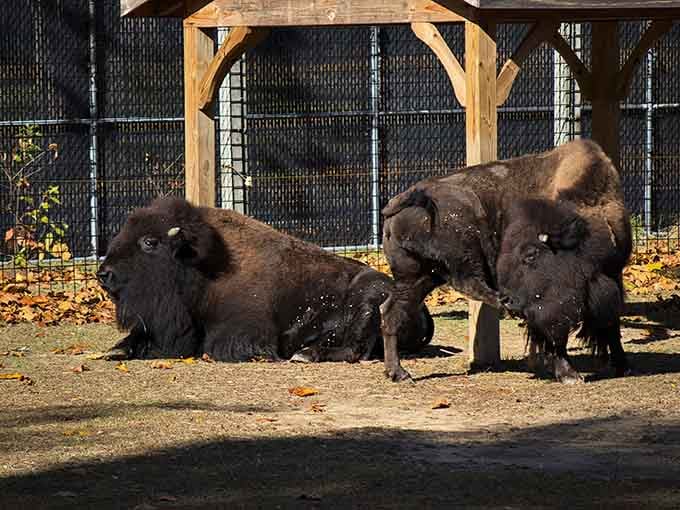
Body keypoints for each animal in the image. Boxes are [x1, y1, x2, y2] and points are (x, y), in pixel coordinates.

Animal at [97, 197, 433, 362]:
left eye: (150, 242)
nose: (103, 274)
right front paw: (117, 351)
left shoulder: (245, 331)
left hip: (369, 299)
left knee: (356, 351)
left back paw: (304, 354)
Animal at [380, 139, 631, 383]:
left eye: (531, 254)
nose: (514, 301)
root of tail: (401, 200)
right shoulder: (549, 308)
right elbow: (555, 336)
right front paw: (569, 375)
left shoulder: (613, 276)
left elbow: (611, 323)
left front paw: (621, 365)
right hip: (460, 247)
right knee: (467, 281)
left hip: (418, 277)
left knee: (391, 312)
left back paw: (398, 373)